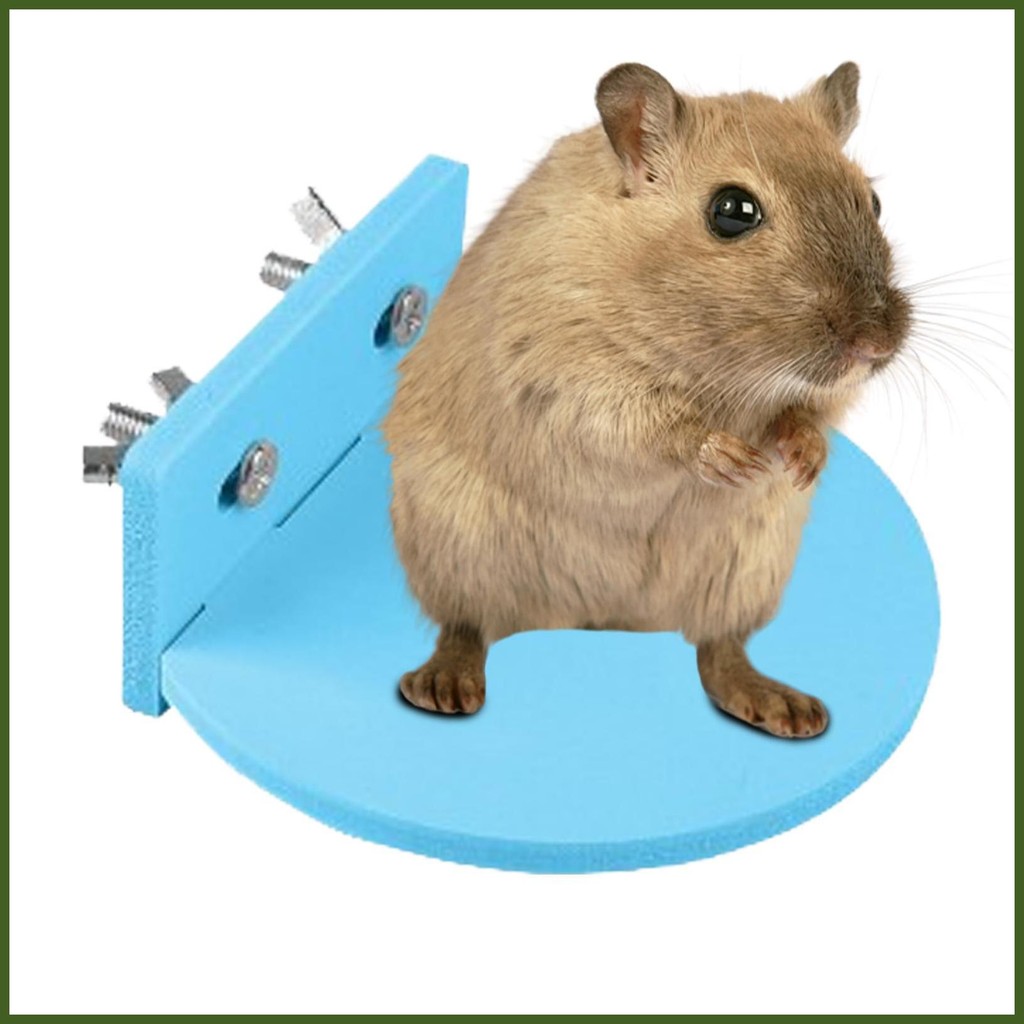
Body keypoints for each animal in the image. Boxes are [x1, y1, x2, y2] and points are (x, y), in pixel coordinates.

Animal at [382, 62, 911, 737]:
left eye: (873, 201)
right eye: (732, 211)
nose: (877, 345)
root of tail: (605, 618)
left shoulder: (819, 395)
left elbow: (811, 414)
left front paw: (799, 460)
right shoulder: (564, 371)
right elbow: (650, 426)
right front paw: (731, 459)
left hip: (746, 568)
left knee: (718, 649)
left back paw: (785, 708)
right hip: (455, 547)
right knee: (467, 626)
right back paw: (443, 685)